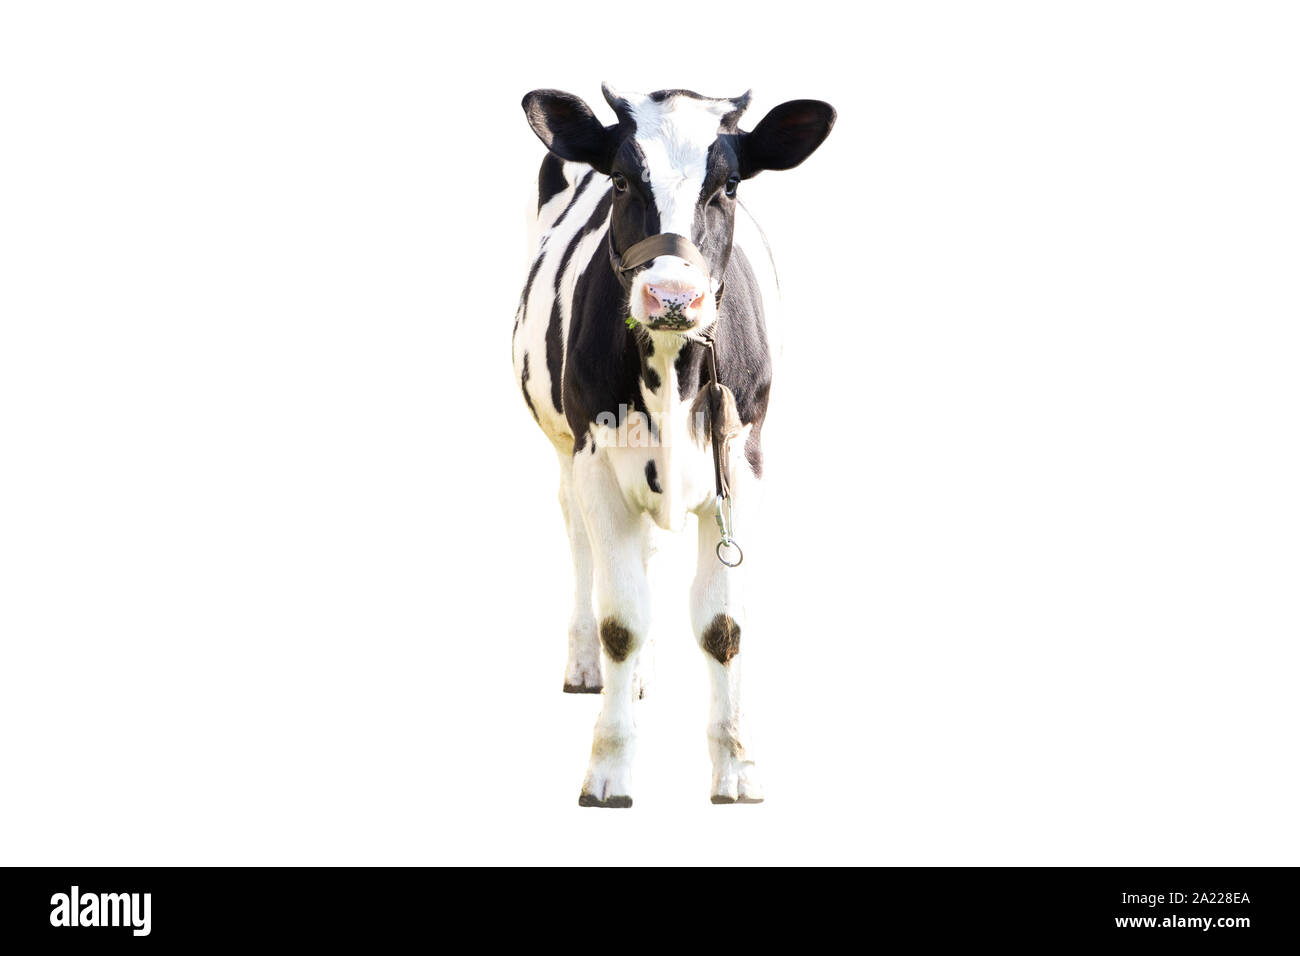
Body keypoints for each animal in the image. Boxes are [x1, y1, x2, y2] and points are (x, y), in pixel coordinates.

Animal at [513, 84, 835, 807]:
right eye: (621, 180)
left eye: (729, 185)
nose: (672, 296)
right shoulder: (595, 461)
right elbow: (621, 619)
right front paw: (609, 768)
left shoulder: (741, 464)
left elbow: (723, 624)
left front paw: (736, 767)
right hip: (564, 446)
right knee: (581, 543)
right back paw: (588, 664)